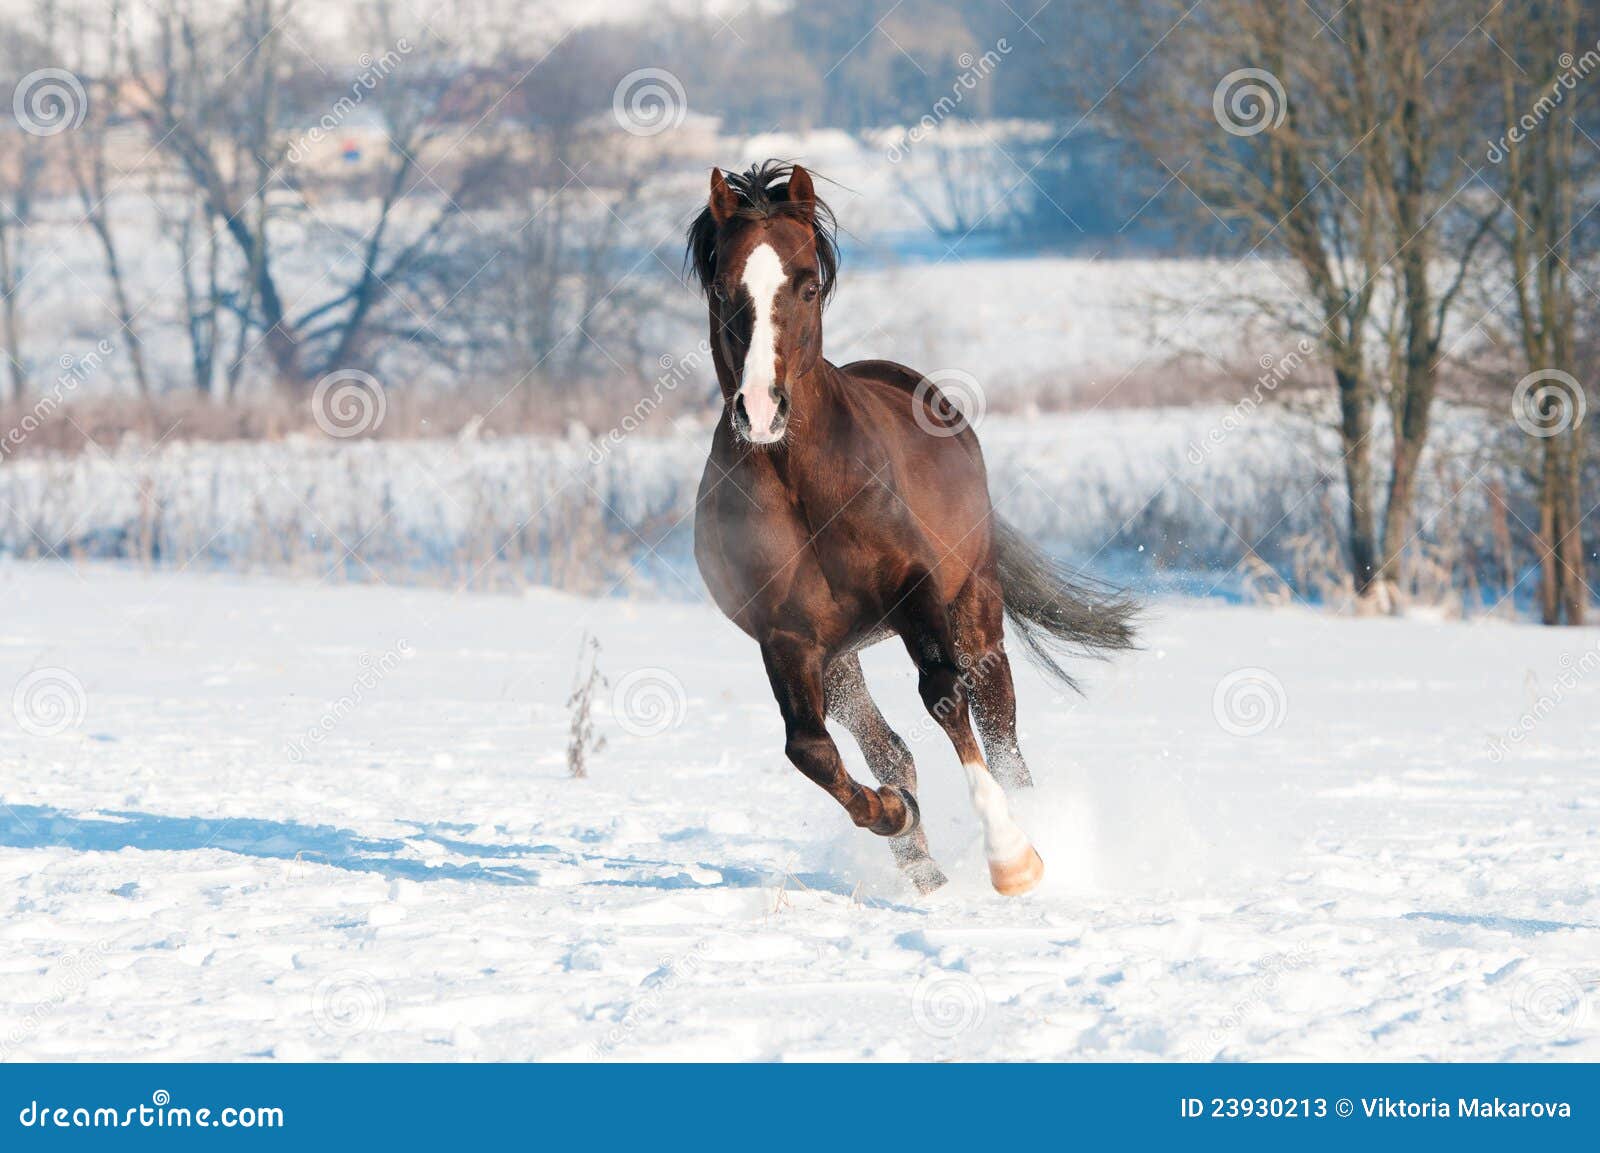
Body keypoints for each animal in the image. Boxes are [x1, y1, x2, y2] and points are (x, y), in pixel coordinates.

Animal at [687, 161, 1136, 895]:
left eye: (806, 284)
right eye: (725, 288)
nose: (759, 410)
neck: (802, 485)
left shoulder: (915, 591)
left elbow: (944, 698)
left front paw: (1012, 858)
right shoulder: (787, 639)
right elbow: (811, 750)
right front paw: (898, 815)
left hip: (974, 602)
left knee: (998, 726)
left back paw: (1037, 821)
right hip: (841, 658)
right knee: (882, 744)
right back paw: (922, 862)